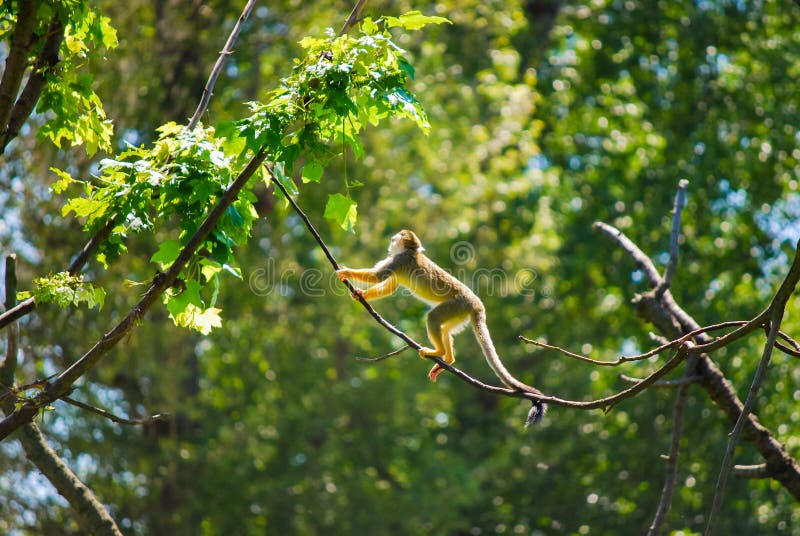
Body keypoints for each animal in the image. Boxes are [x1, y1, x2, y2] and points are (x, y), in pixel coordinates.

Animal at [337, 230, 545, 425]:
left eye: (399, 236)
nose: (393, 238)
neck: (409, 251)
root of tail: (477, 304)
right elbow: (390, 286)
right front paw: (361, 294)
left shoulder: (399, 259)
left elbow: (378, 276)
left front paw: (346, 273)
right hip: (460, 313)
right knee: (444, 328)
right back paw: (448, 358)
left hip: (457, 304)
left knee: (432, 318)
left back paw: (438, 351)